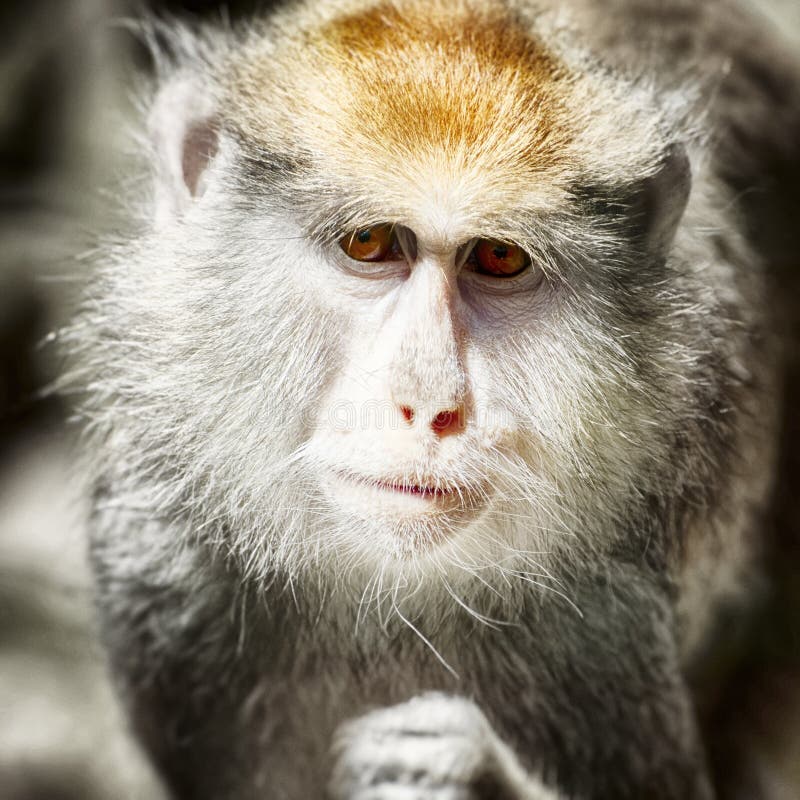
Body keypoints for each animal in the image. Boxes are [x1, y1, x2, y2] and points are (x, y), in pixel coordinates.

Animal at [63, 0, 800, 798]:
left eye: (500, 258)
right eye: (370, 241)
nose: (429, 405)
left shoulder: (604, 630)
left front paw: (471, 776)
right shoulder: (164, 579)